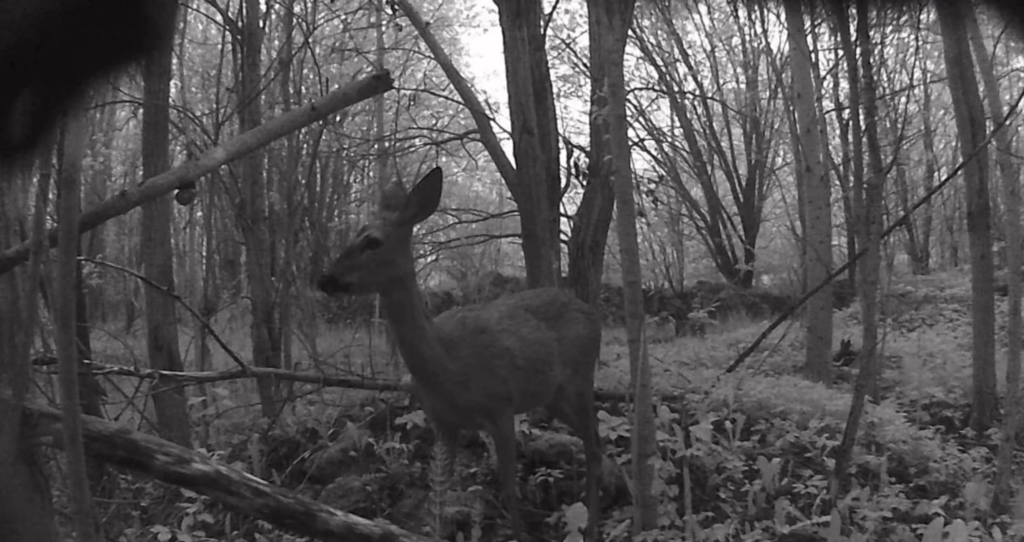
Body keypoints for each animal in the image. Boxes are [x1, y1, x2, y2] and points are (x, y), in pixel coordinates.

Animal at [317, 166, 603, 541]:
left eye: (373, 241)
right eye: (356, 233)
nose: (324, 278)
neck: (446, 364)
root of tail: (591, 312)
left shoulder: (501, 407)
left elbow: (509, 489)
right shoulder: (443, 423)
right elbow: (437, 497)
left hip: (581, 377)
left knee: (594, 442)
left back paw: (596, 523)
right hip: (553, 394)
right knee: (592, 440)